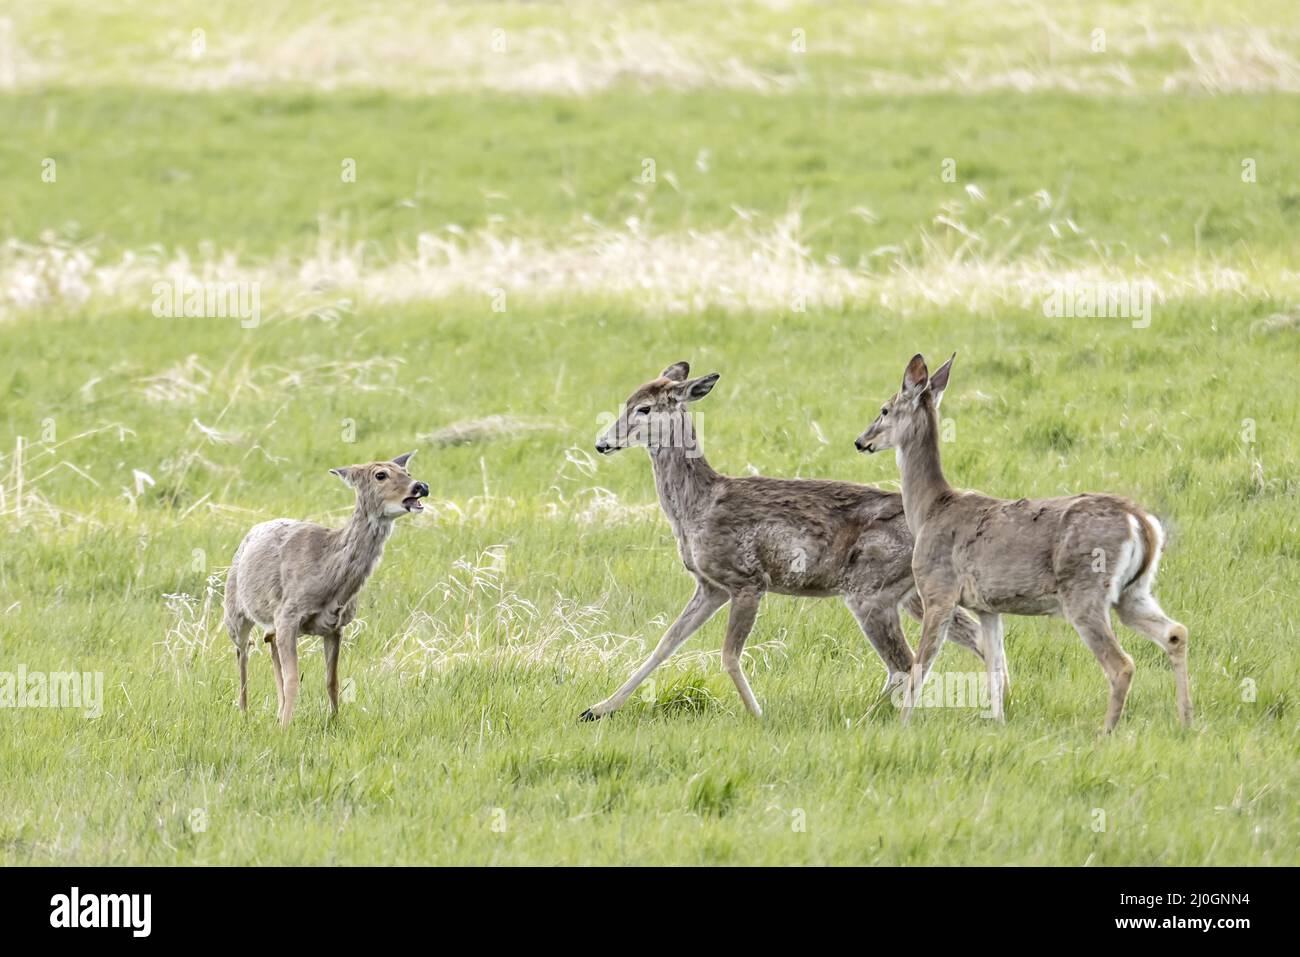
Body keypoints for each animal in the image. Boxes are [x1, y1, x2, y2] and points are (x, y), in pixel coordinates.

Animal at [223, 451, 429, 727]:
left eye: (407, 472)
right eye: (380, 474)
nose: (421, 486)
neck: (327, 573)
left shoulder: (335, 626)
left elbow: (332, 680)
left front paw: (334, 721)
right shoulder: (288, 614)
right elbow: (293, 680)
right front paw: (285, 729)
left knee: (268, 641)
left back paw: (277, 711)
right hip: (234, 609)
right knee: (242, 653)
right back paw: (244, 713)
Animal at [581, 361, 985, 722]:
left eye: (645, 408)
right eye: (627, 402)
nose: (602, 443)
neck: (697, 507)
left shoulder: (747, 580)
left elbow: (728, 654)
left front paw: (758, 716)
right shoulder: (710, 585)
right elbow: (665, 644)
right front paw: (596, 709)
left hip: (872, 589)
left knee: (904, 662)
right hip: (913, 592)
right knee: (967, 634)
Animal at [855, 353, 1192, 733]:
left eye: (884, 410)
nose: (860, 441)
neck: (930, 509)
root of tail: (1141, 522)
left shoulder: (938, 591)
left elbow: (919, 666)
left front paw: (903, 726)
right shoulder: (987, 607)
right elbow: (995, 668)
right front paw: (999, 722)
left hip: (1085, 591)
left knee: (1121, 664)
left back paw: (1105, 732)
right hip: (1134, 592)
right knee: (1176, 632)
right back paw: (1187, 721)